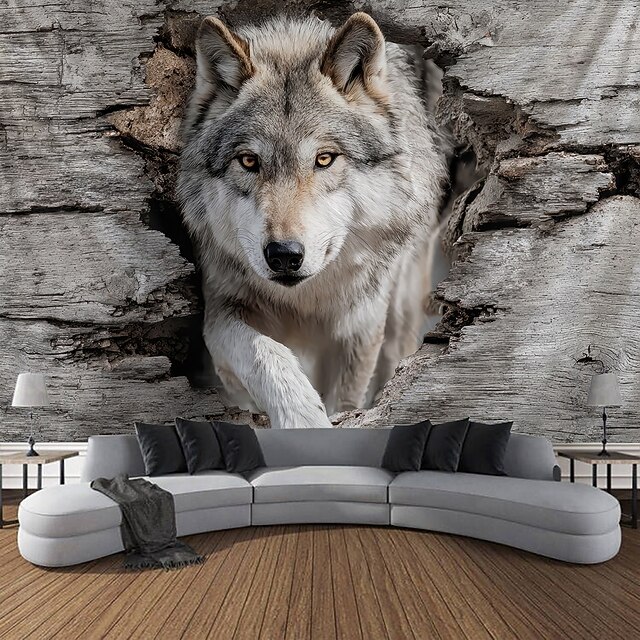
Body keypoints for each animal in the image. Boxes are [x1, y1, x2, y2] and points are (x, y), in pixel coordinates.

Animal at [178, 12, 447, 428]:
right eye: (249, 161)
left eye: (324, 159)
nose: (284, 255)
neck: (305, 301)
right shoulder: (223, 309)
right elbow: (265, 356)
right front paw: (301, 418)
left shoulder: (361, 327)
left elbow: (347, 401)